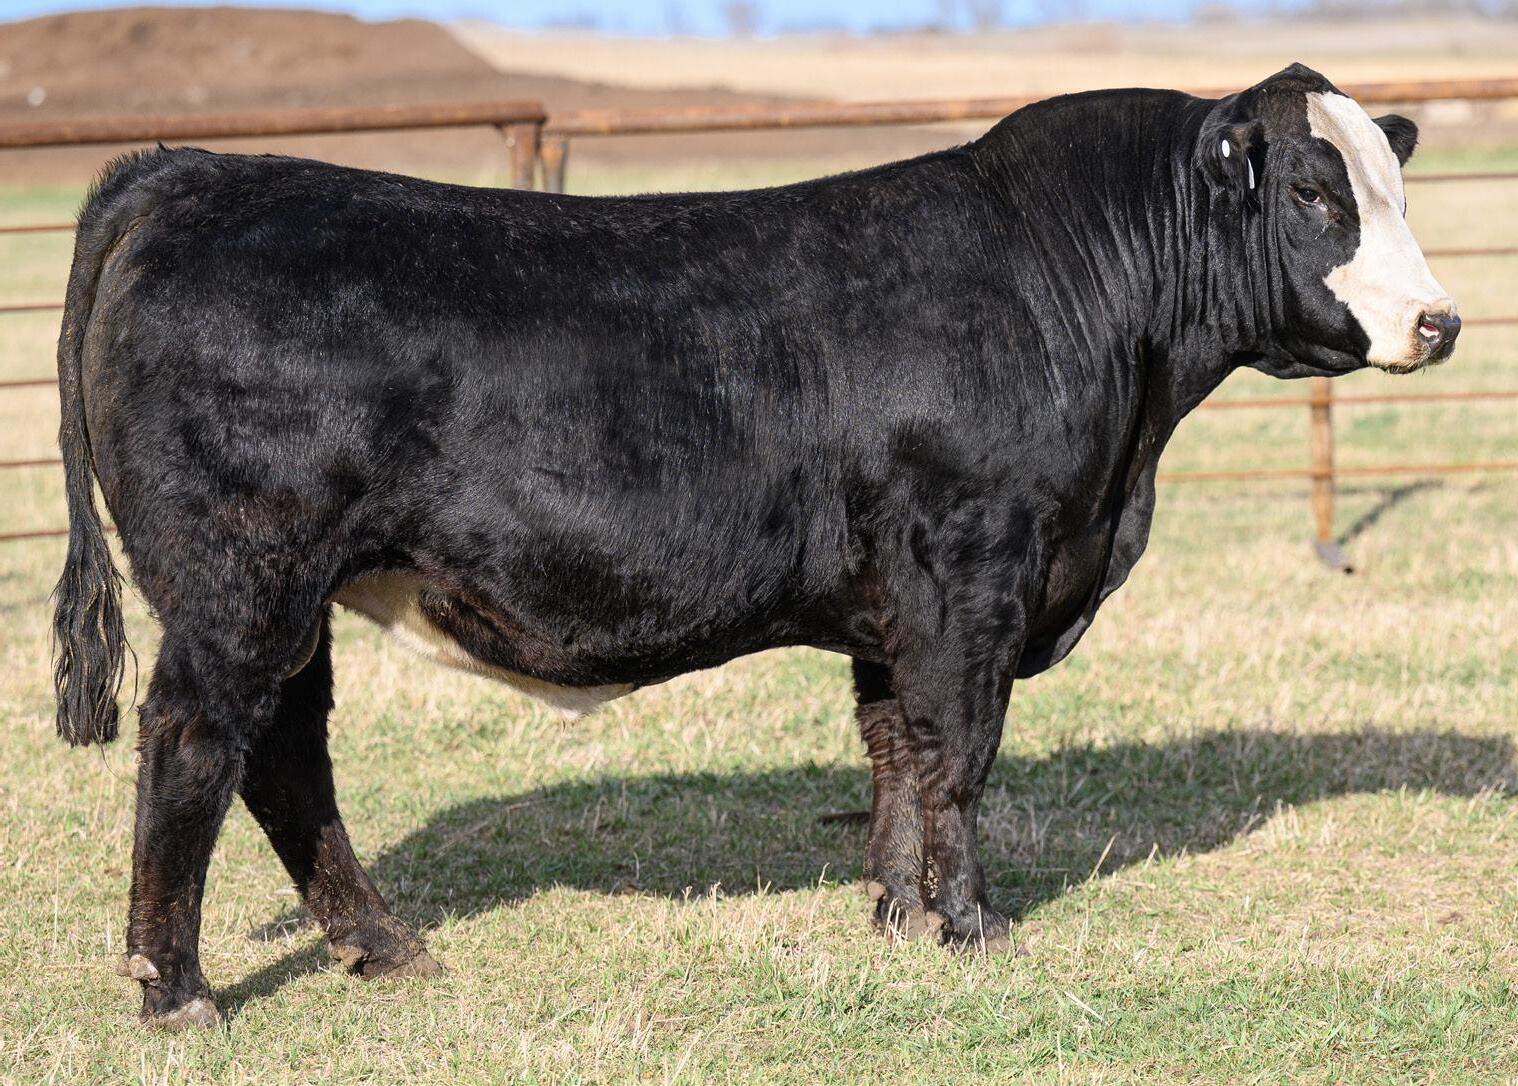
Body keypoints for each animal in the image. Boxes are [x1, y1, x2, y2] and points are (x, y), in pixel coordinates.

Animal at [52, 63, 1458, 1028]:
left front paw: (896, 914)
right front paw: (972, 925)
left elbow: (896, 752)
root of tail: (193, 172)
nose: (1441, 322)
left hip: (291, 597)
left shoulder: (898, 600)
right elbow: (960, 755)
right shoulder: (975, 572)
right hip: (242, 580)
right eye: (1314, 191)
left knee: (287, 757)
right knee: (195, 744)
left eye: (1390, 183)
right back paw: (176, 990)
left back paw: (381, 947)